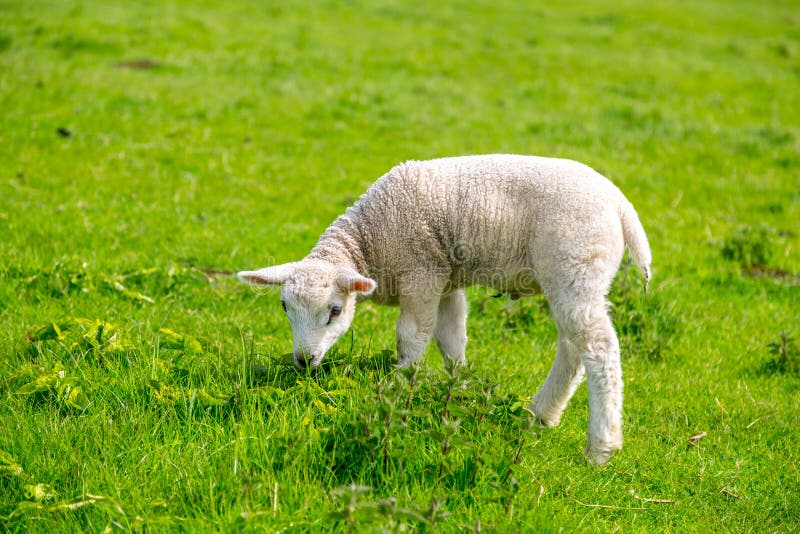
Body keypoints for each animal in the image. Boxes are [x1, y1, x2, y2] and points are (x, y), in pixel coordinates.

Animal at [238, 154, 651, 465]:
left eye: (335, 311)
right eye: (284, 307)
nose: (304, 361)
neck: (369, 241)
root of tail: (621, 206)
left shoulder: (421, 273)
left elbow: (412, 337)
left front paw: (398, 391)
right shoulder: (447, 282)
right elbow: (451, 339)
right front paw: (460, 390)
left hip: (576, 264)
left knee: (598, 347)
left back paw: (600, 447)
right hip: (575, 276)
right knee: (572, 346)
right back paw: (542, 414)